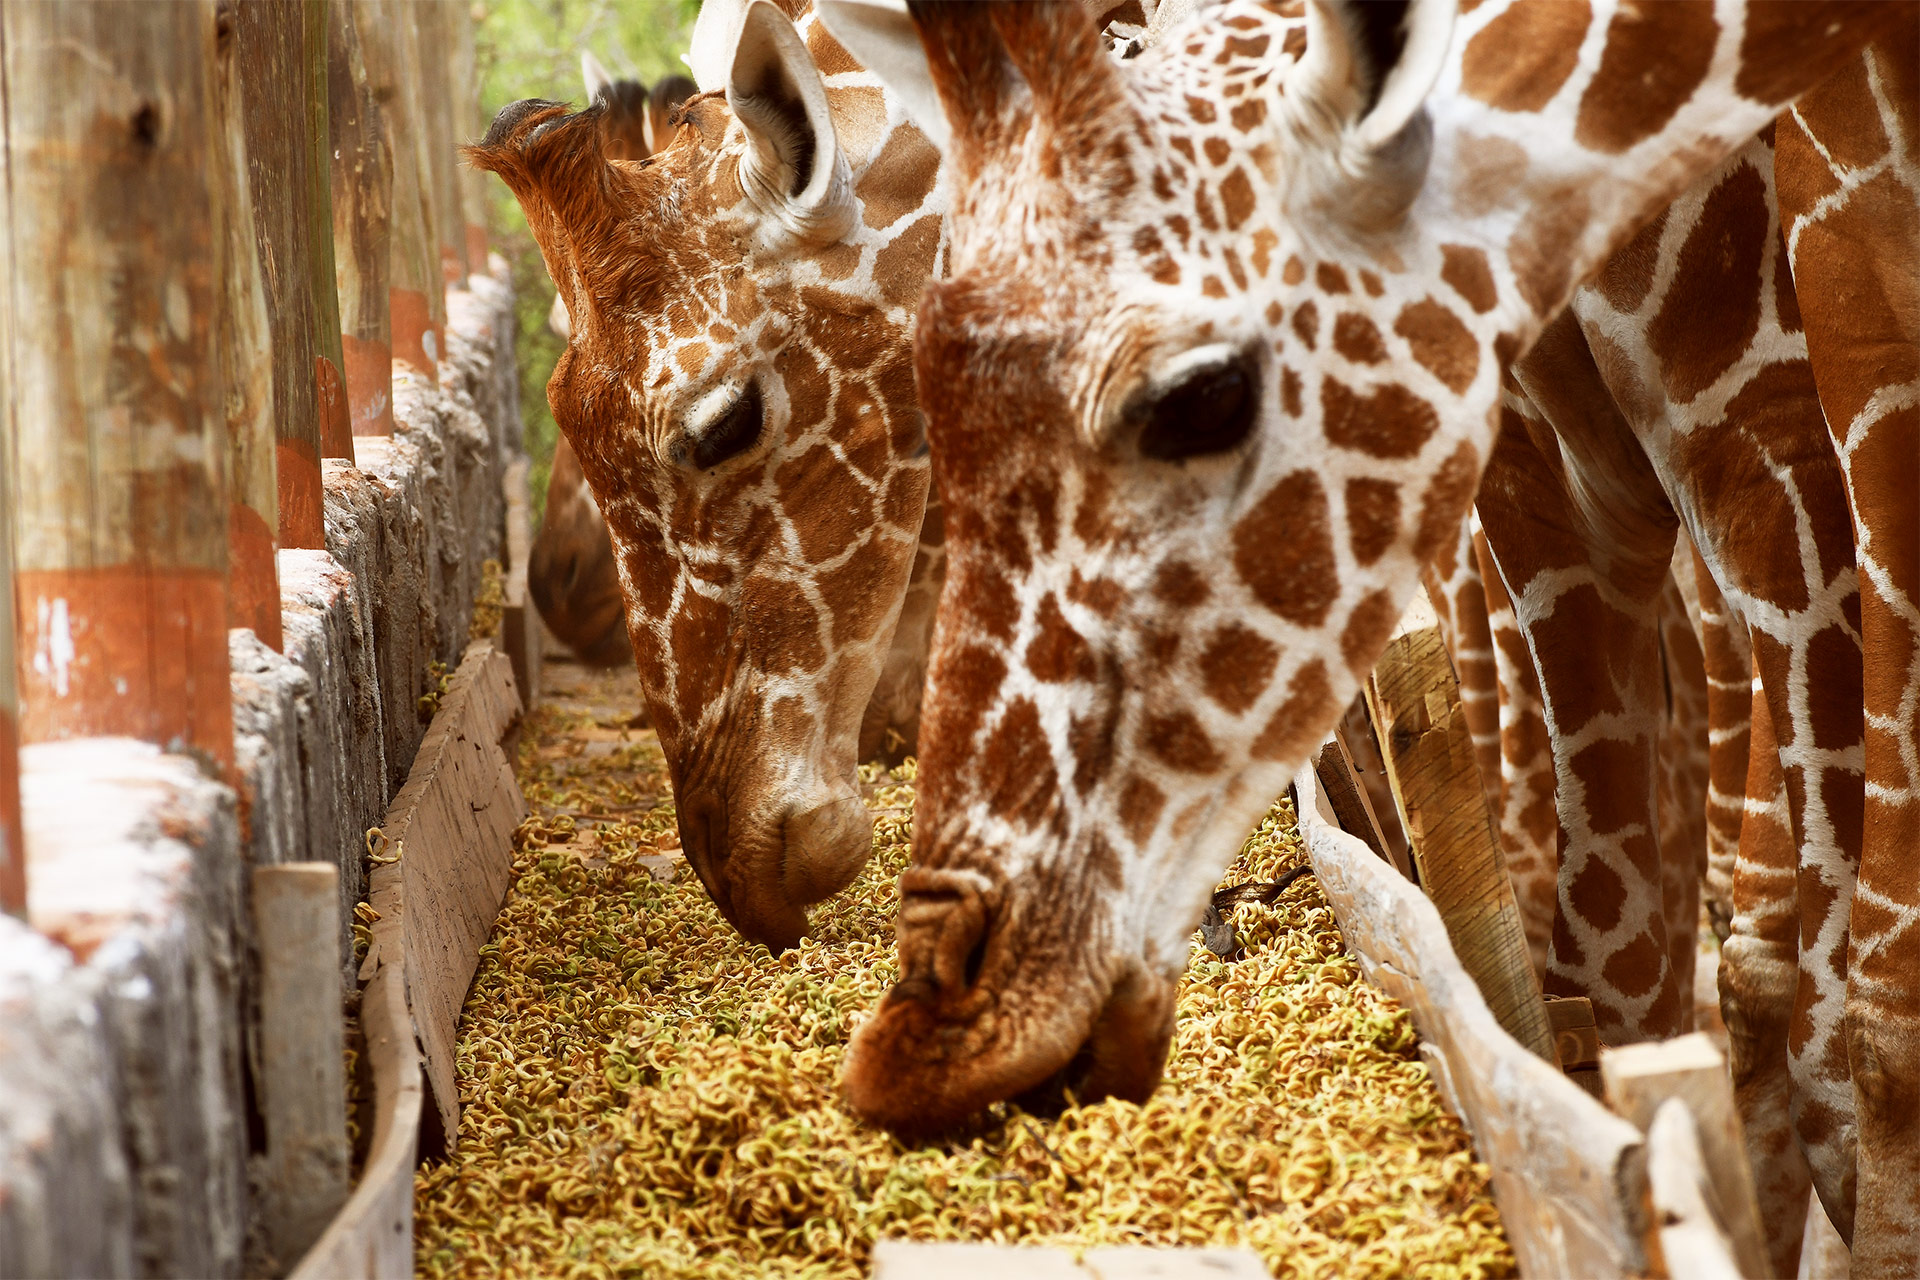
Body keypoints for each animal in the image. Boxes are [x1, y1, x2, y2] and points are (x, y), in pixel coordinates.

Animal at [823, 0, 1897, 1211]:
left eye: (1195, 397)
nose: (921, 1043)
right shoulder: (1554, 485)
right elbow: (1619, 971)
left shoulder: (1780, 439)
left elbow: (1833, 1016)